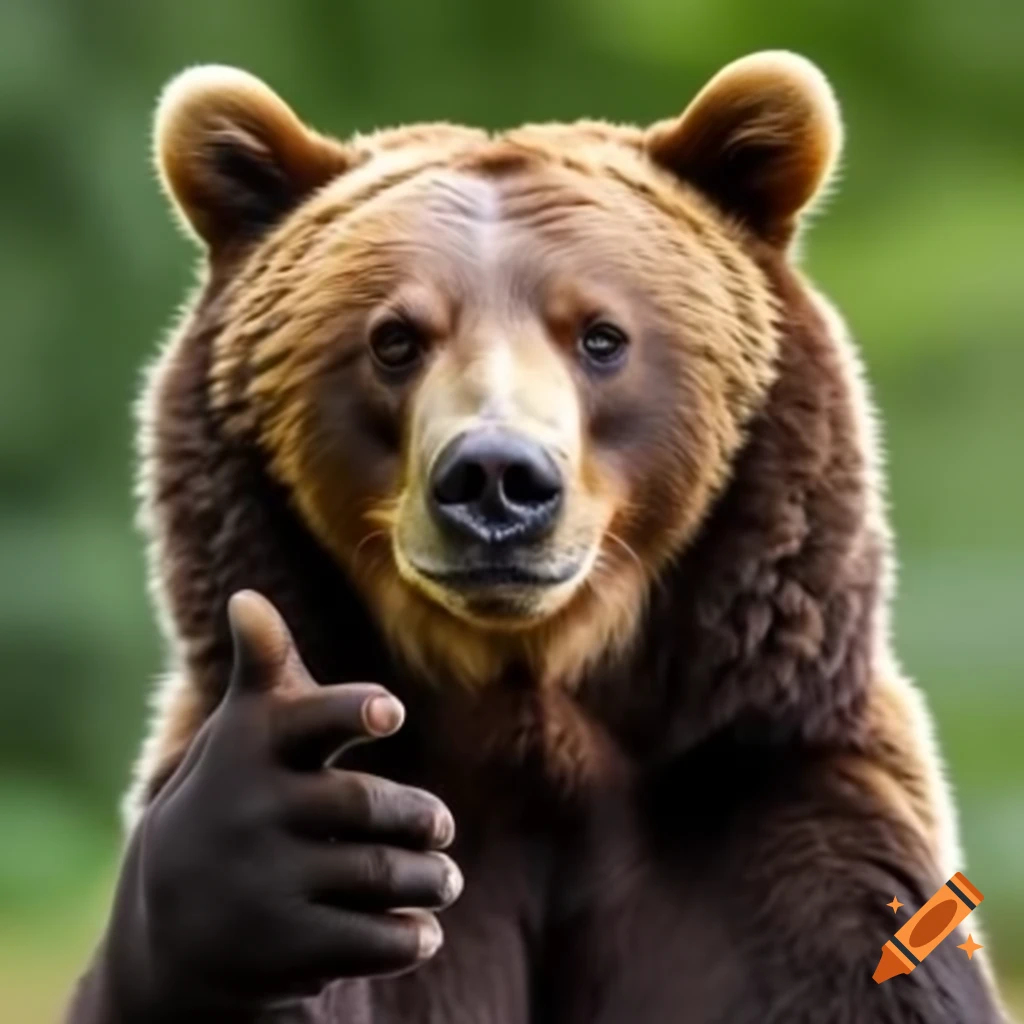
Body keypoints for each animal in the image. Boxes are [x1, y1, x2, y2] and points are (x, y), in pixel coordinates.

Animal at [66, 52, 1009, 1023]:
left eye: (602, 336)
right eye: (394, 339)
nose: (495, 477)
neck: (526, 706)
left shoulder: (771, 826)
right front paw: (269, 866)